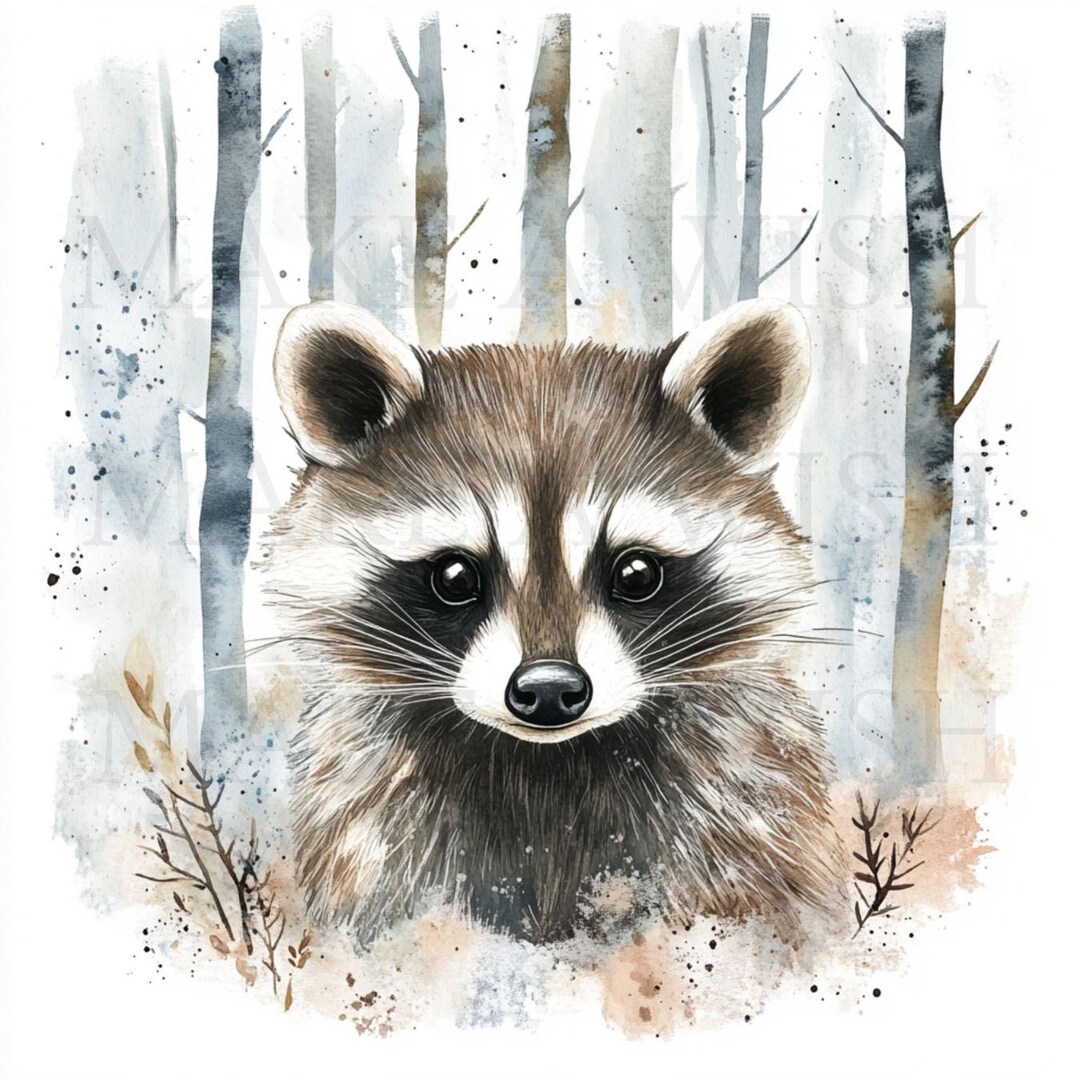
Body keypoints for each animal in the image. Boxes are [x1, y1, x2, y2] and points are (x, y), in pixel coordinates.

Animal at [264, 298, 837, 943]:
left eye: (636, 572)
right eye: (455, 576)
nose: (547, 689)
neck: (545, 764)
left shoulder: (738, 796)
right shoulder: (376, 811)